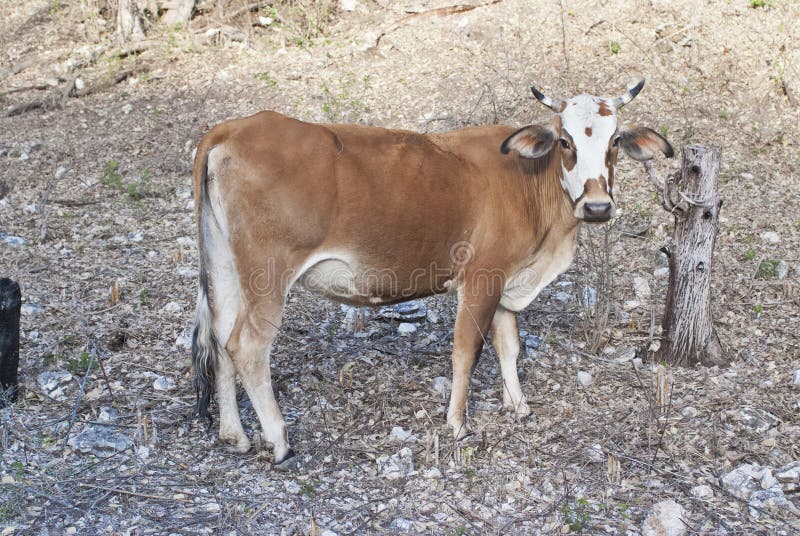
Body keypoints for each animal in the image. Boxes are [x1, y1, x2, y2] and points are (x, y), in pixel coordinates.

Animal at [191, 80, 673, 466]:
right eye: (566, 142)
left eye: (615, 142)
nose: (597, 206)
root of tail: (236, 126)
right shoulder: (481, 277)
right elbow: (466, 352)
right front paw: (458, 423)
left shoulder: (507, 278)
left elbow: (509, 346)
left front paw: (518, 405)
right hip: (267, 275)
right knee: (248, 346)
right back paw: (279, 440)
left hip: (224, 269)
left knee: (220, 338)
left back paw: (234, 434)